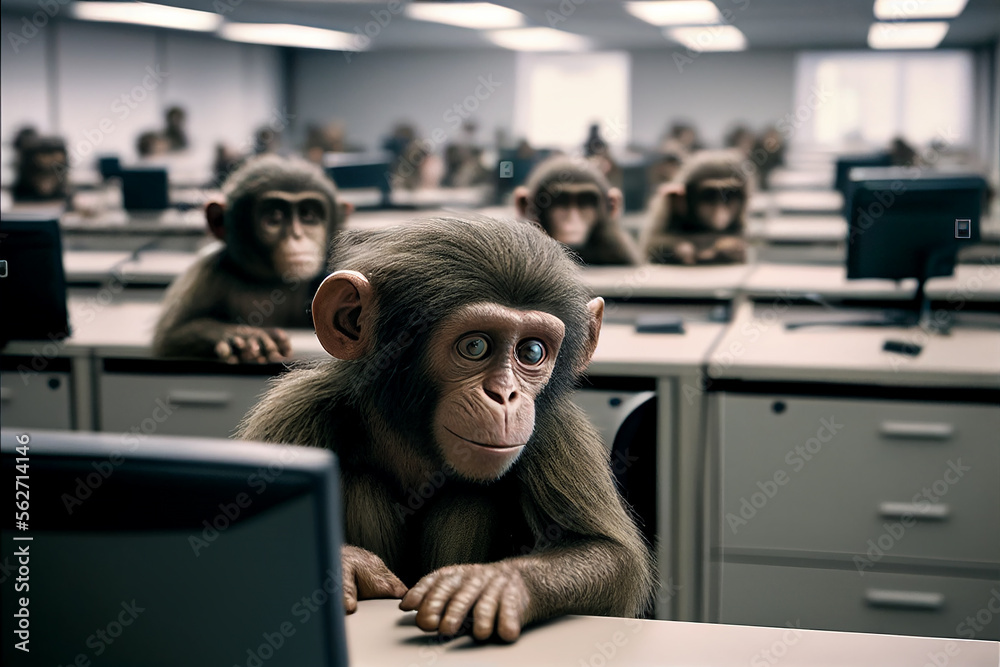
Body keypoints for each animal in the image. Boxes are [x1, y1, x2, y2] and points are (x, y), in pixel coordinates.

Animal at [152, 154, 352, 363]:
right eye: (274, 217)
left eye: (308, 215)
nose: (297, 236)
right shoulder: (206, 270)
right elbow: (170, 336)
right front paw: (242, 338)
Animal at [237, 216, 653, 642]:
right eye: (475, 347)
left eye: (532, 352)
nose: (505, 395)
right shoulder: (293, 414)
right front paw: (345, 565)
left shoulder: (557, 429)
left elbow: (605, 551)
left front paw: (492, 585)